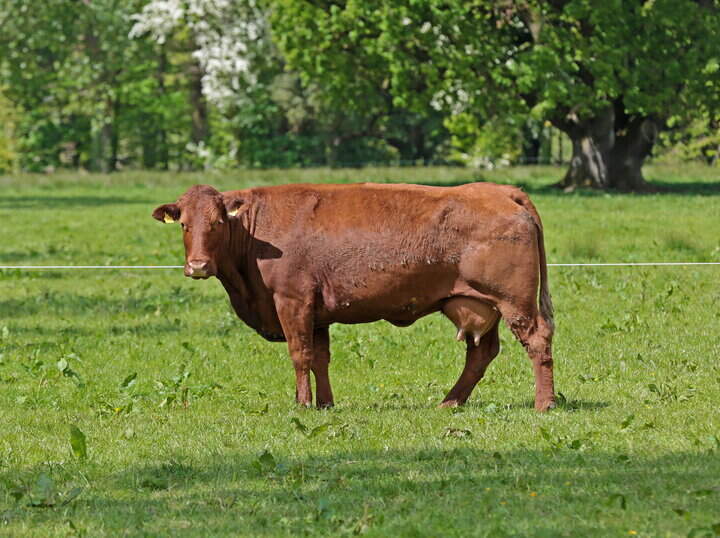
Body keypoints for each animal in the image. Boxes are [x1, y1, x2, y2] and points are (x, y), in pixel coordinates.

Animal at [152, 182, 556, 411]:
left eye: (218, 222)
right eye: (184, 224)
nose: (198, 265)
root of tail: (500, 190)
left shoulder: (292, 302)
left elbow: (300, 355)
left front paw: (302, 404)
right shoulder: (316, 314)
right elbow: (320, 358)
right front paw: (325, 403)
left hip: (515, 303)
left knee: (537, 341)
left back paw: (544, 403)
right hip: (481, 305)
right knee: (481, 354)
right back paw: (450, 401)